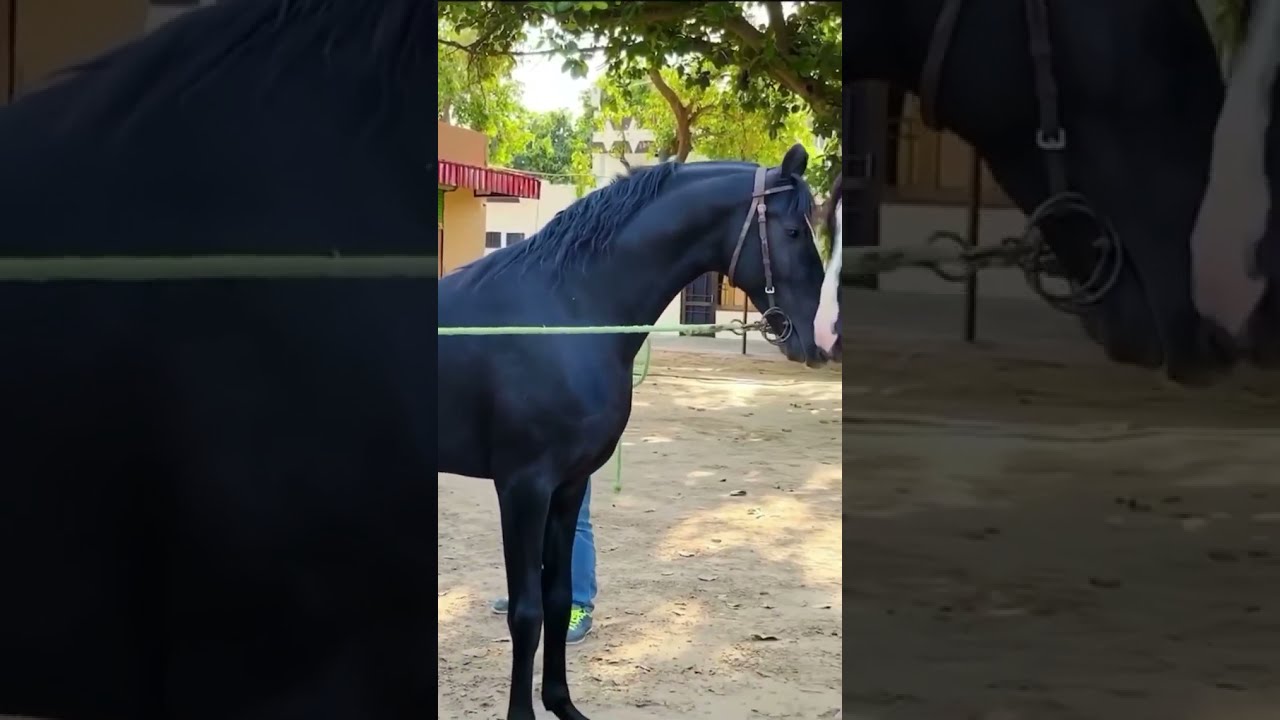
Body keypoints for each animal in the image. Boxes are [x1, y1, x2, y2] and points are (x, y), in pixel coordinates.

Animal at [438, 145, 828, 720]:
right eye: (795, 231)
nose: (822, 338)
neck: (566, 312)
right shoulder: (523, 488)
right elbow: (527, 612)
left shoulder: (568, 486)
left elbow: (558, 600)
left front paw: (562, 704)